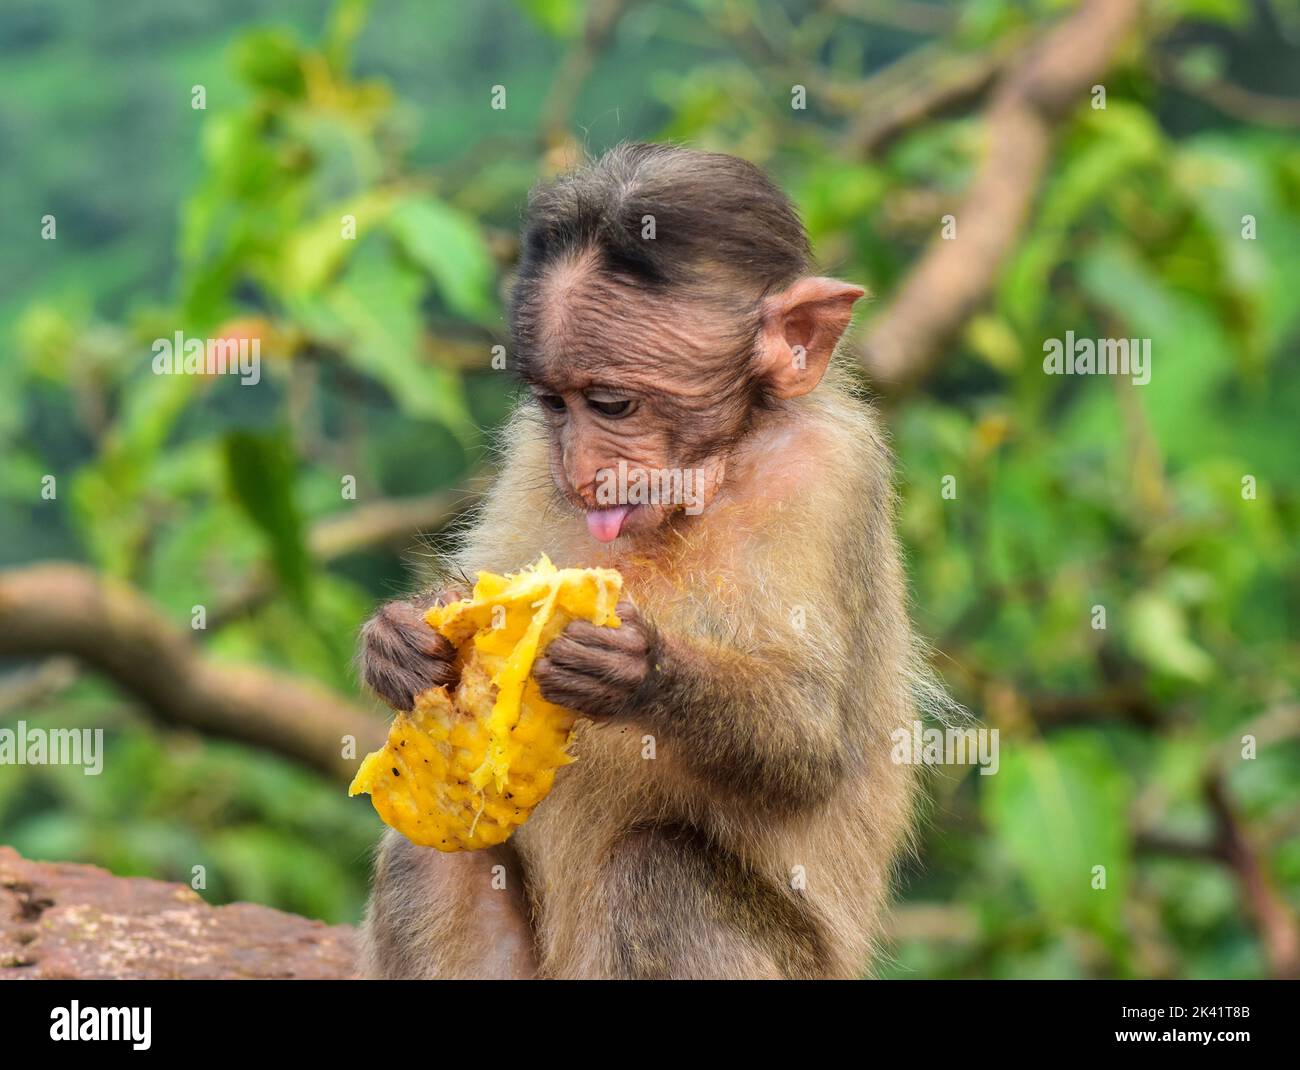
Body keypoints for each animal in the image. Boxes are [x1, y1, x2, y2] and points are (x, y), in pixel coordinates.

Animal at [357, 142, 925, 980]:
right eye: (556, 405)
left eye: (612, 404)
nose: (583, 471)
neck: (707, 485)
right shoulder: (530, 452)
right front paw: (399, 641)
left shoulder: (829, 471)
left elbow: (810, 738)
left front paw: (636, 668)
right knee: (435, 853)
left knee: (661, 870)